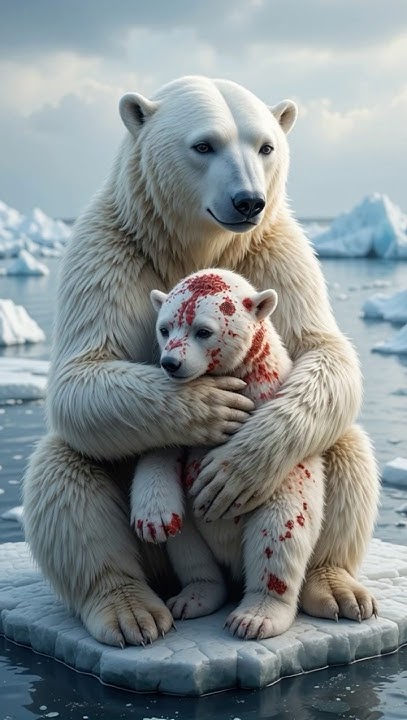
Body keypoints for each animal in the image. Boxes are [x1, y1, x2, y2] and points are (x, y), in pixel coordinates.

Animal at [131, 268, 325, 639]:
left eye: (203, 330)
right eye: (164, 328)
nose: (170, 362)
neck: (240, 377)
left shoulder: (267, 393)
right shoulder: (191, 428)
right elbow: (162, 447)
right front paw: (152, 520)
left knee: (277, 533)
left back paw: (256, 615)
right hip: (196, 527)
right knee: (188, 540)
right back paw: (194, 596)